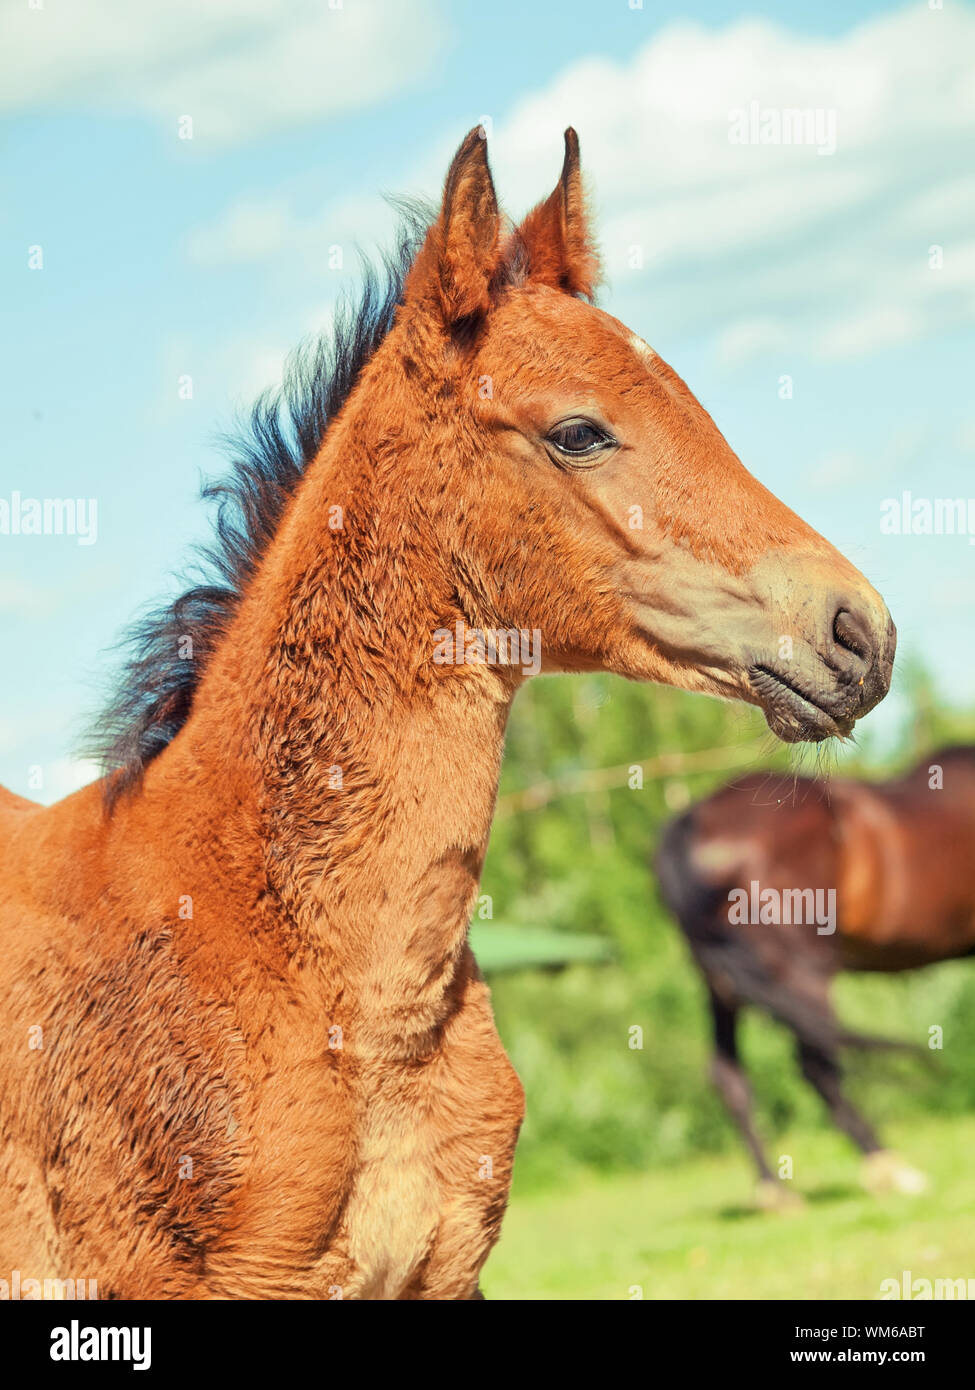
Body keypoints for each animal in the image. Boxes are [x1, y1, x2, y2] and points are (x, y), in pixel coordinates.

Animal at [655, 748, 975, 1208]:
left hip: (722, 986)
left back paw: (776, 1191)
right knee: (818, 1067)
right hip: (802, 974)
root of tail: (693, 820)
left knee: (729, 1076)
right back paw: (887, 1167)